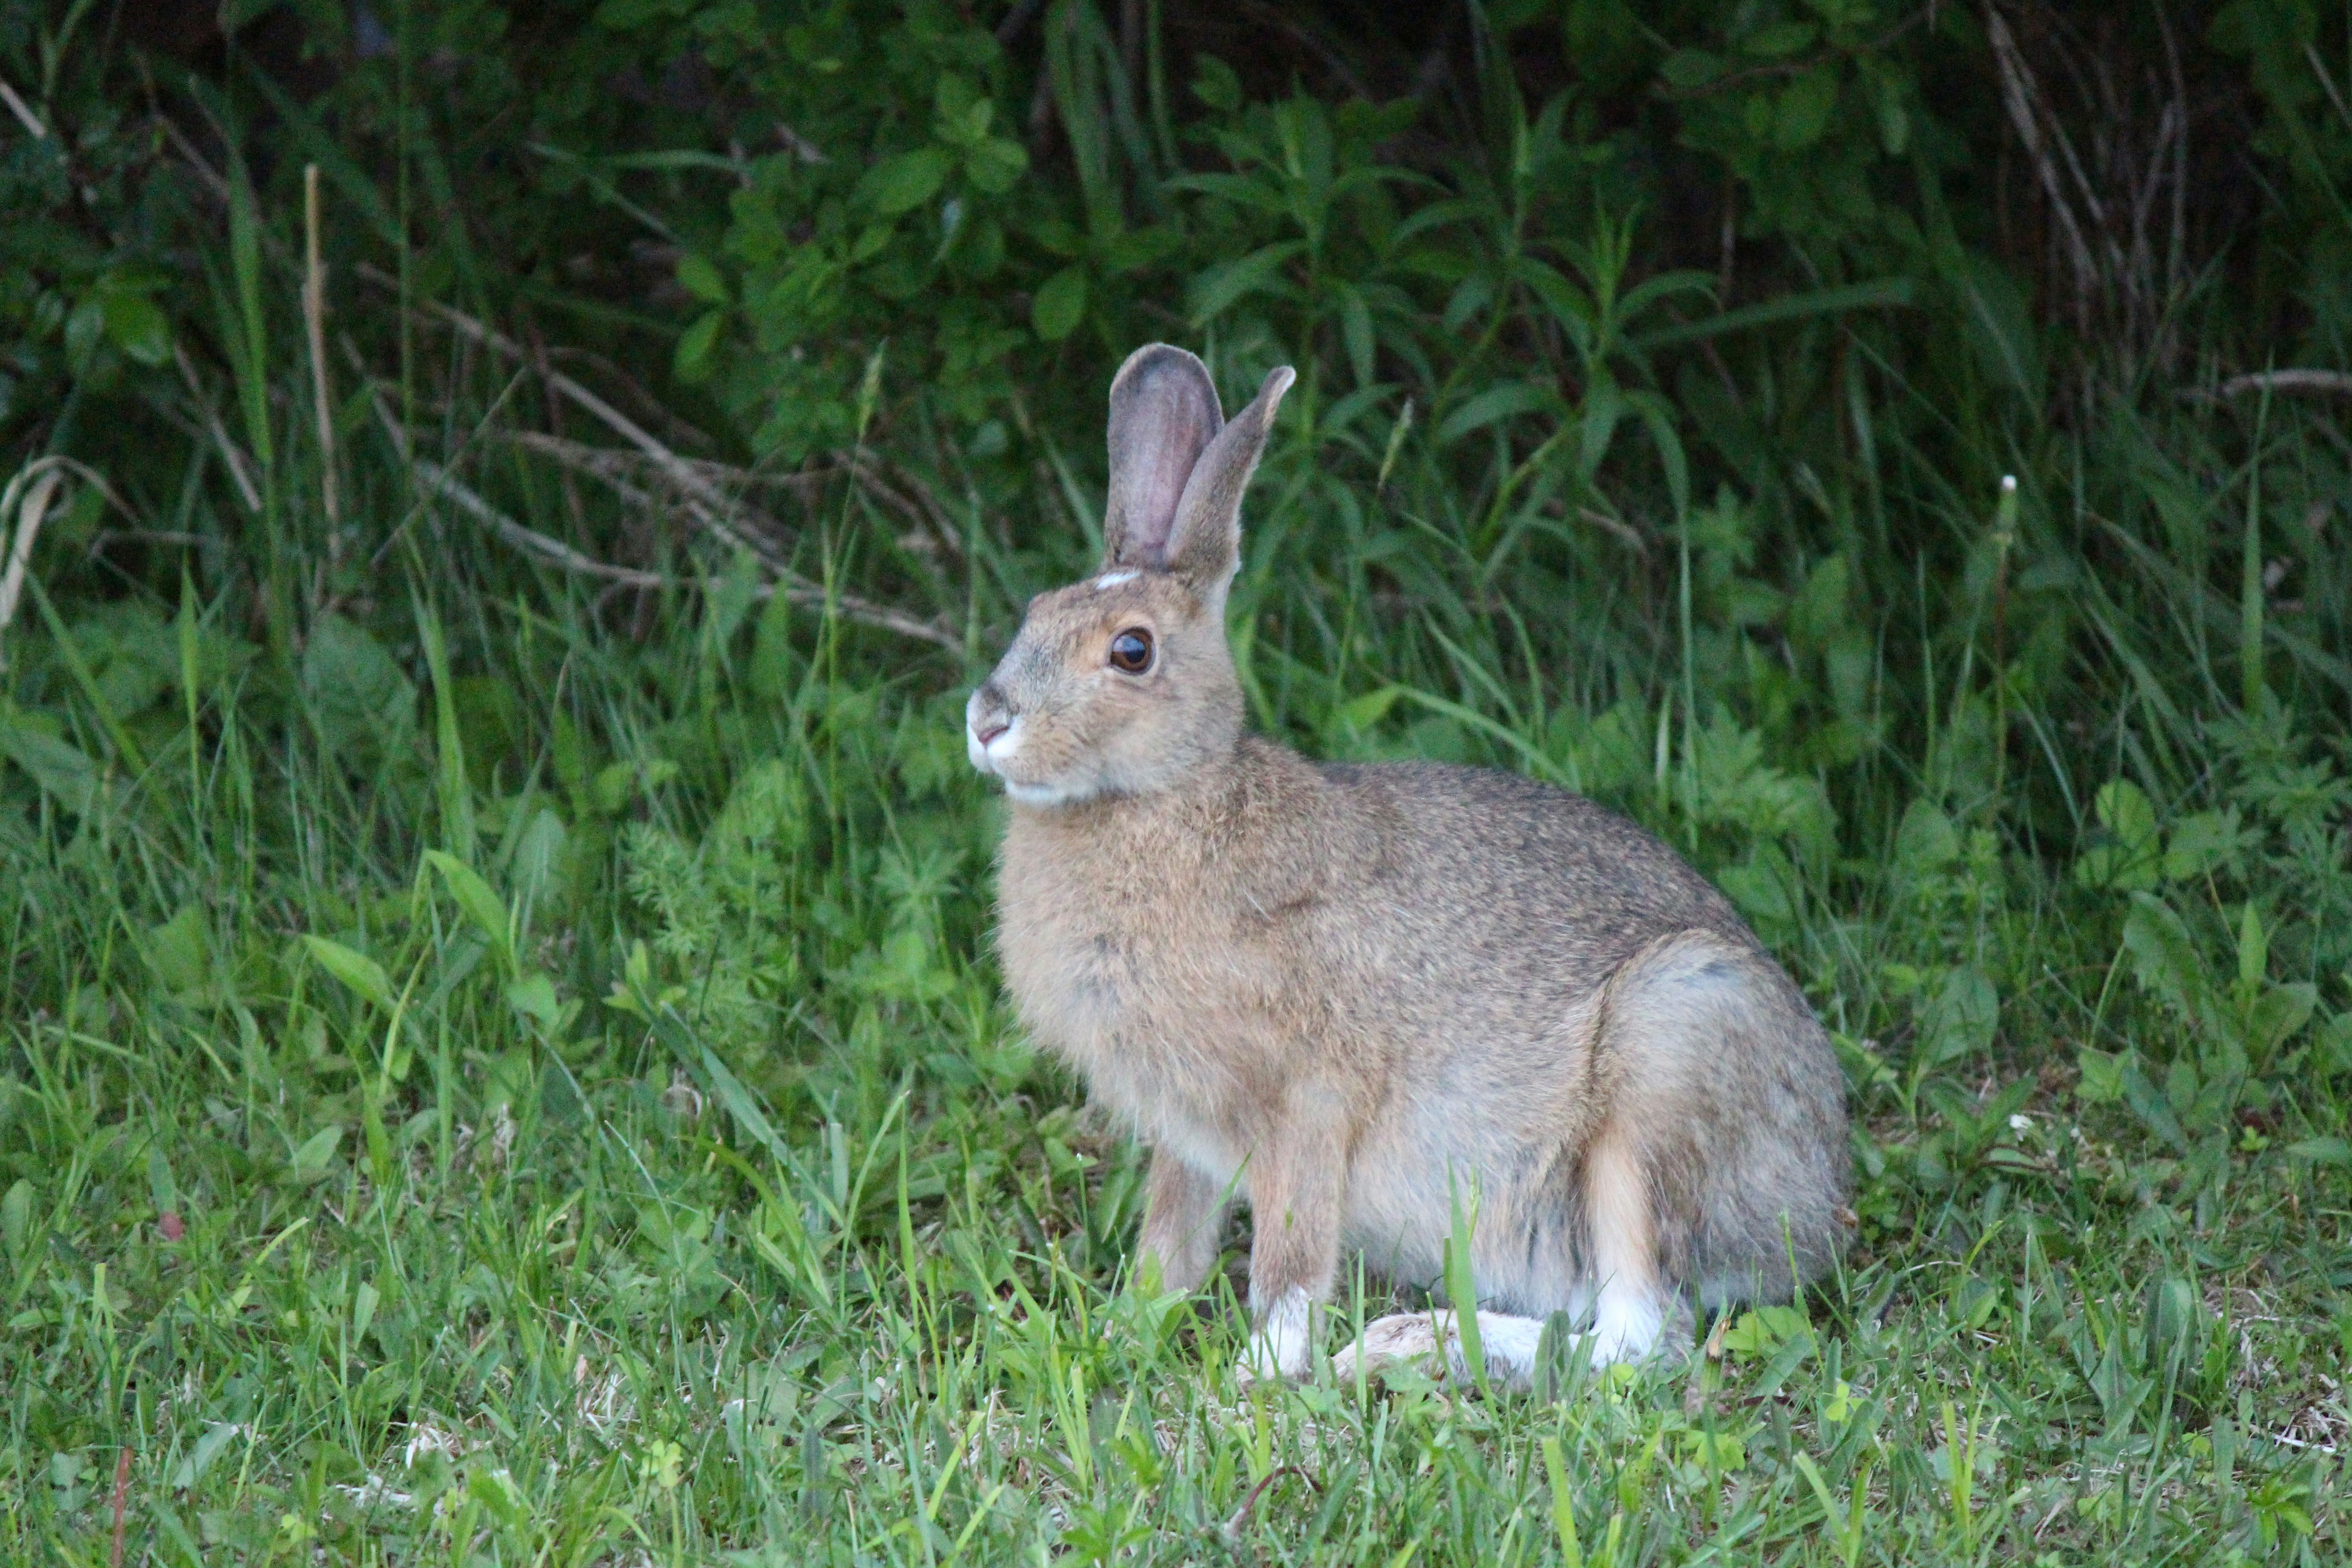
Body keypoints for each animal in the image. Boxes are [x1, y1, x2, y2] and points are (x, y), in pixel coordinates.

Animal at [965, 343, 1849, 1387]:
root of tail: (1816, 1202)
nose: (988, 720)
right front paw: (1122, 1329)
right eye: (1035, 612)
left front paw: (1260, 1373)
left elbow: (1289, 1260)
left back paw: (1396, 1346)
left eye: (1131, 651)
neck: (1170, 797)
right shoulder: (1188, 1137)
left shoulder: (1309, 1096)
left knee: (1640, 1337)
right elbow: (1170, 1241)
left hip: (1662, 1062)